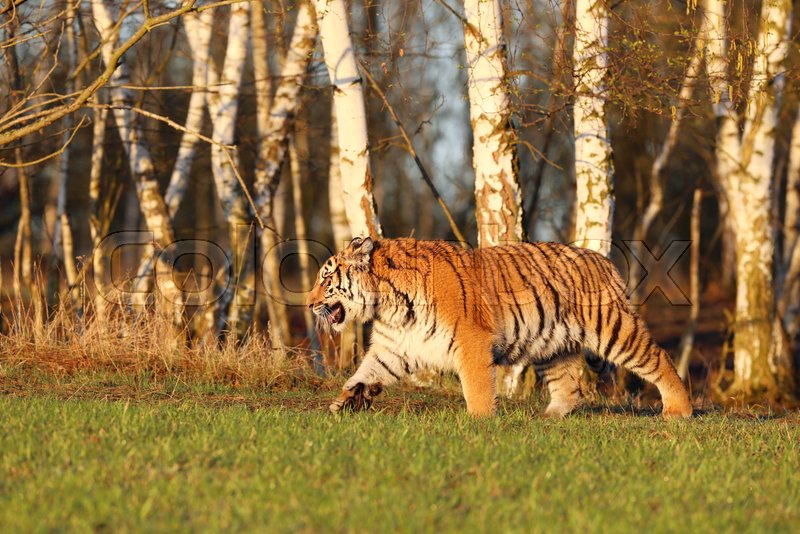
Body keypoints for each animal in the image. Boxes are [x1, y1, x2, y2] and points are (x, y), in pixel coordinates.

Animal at [306, 236, 692, 419]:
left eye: (325, 278)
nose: (309, 304)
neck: (389, 307)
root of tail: (603, 260)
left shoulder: (470, 341)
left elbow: (476, 385)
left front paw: (479, 421)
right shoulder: (394, 346)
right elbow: (365, 372)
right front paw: (345, 402)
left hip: (613, 328)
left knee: (658, 358)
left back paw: (679, 410)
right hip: (551, 345)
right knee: (569, 387)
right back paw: (546, 418)